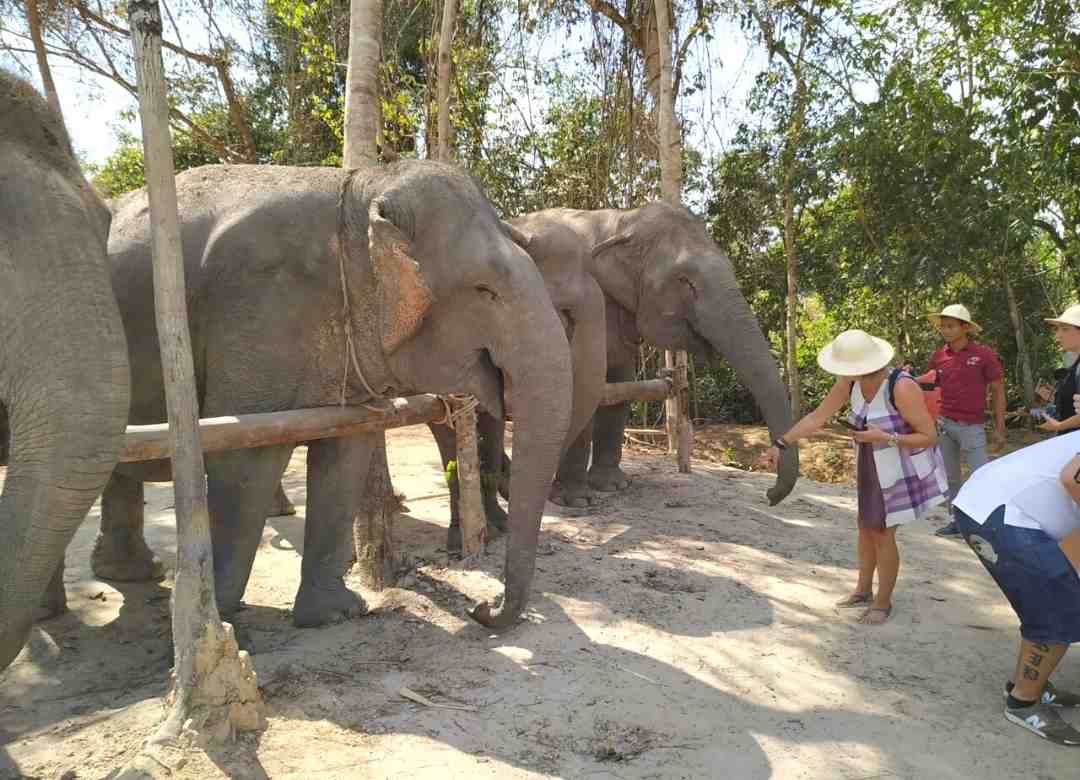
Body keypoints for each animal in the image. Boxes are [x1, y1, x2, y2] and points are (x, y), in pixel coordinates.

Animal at [67, 161, 572, 631]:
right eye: (485, 290)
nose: (482, 607)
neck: (360, 194)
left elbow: (347, 448)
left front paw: (336, 613)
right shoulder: (260, 309)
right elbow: (248, 455)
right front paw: (223, 622)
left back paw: (131, 572)